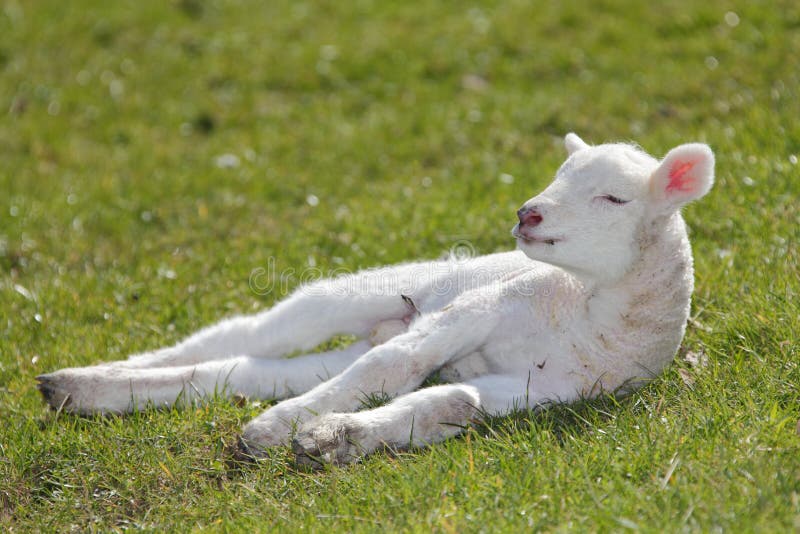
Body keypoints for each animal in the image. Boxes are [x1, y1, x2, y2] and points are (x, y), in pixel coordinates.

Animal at [37, 133, 714, 467]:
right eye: (558, 177)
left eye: (613, 198)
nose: (528, 213)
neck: (582, 314)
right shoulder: (482, 307)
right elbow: (397, 366)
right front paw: (280, 429)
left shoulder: (555, 389)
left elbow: (456, 402)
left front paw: (332, 438)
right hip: (361, 295)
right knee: (254, 333)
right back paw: (95, 374)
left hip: (359, 337)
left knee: (249, 370)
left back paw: (83, 392)